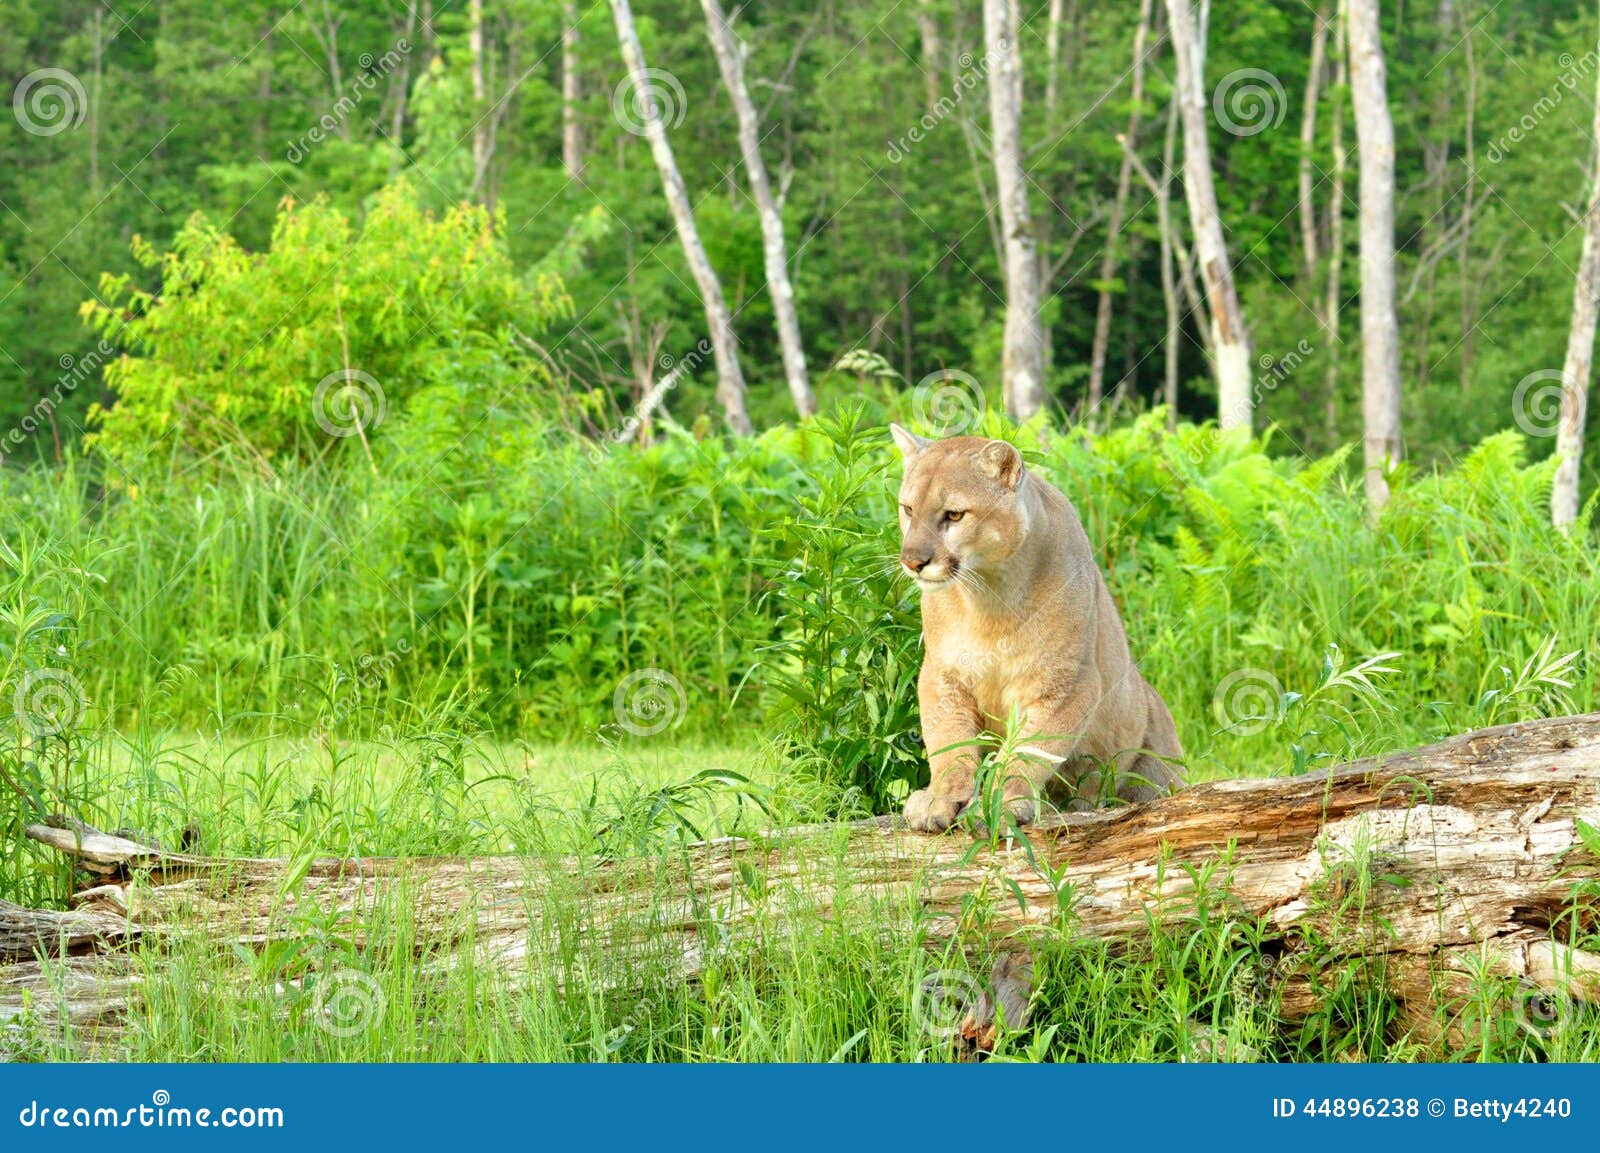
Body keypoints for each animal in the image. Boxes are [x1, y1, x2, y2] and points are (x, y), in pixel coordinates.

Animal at [890, 425, 1184, 832]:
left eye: (954, 514)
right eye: (908, 509)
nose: (913, 561)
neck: (989, 598)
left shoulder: (1064, 683)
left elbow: (1029, 749)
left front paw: (1000, 803)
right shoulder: (942, 674)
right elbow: (948, 742)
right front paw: (939, 798)